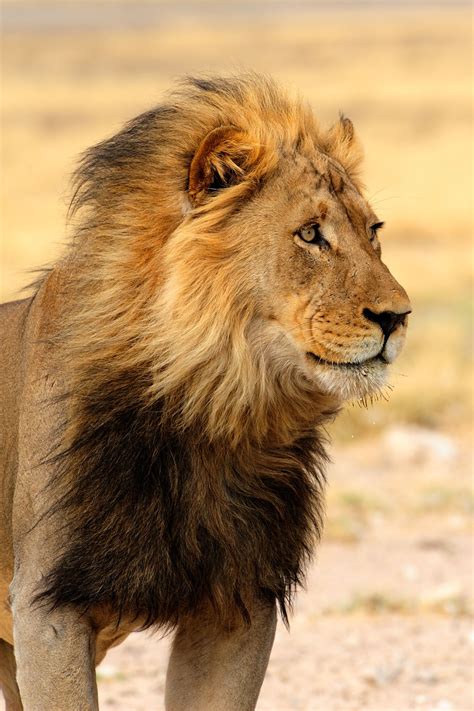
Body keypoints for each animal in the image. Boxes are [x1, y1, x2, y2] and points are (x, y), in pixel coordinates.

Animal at [0, 74, 410, 710]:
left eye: (372, 233)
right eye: (310, 234)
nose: (398, 317)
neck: (210, 406)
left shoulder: (239, 601)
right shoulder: (47, 608)